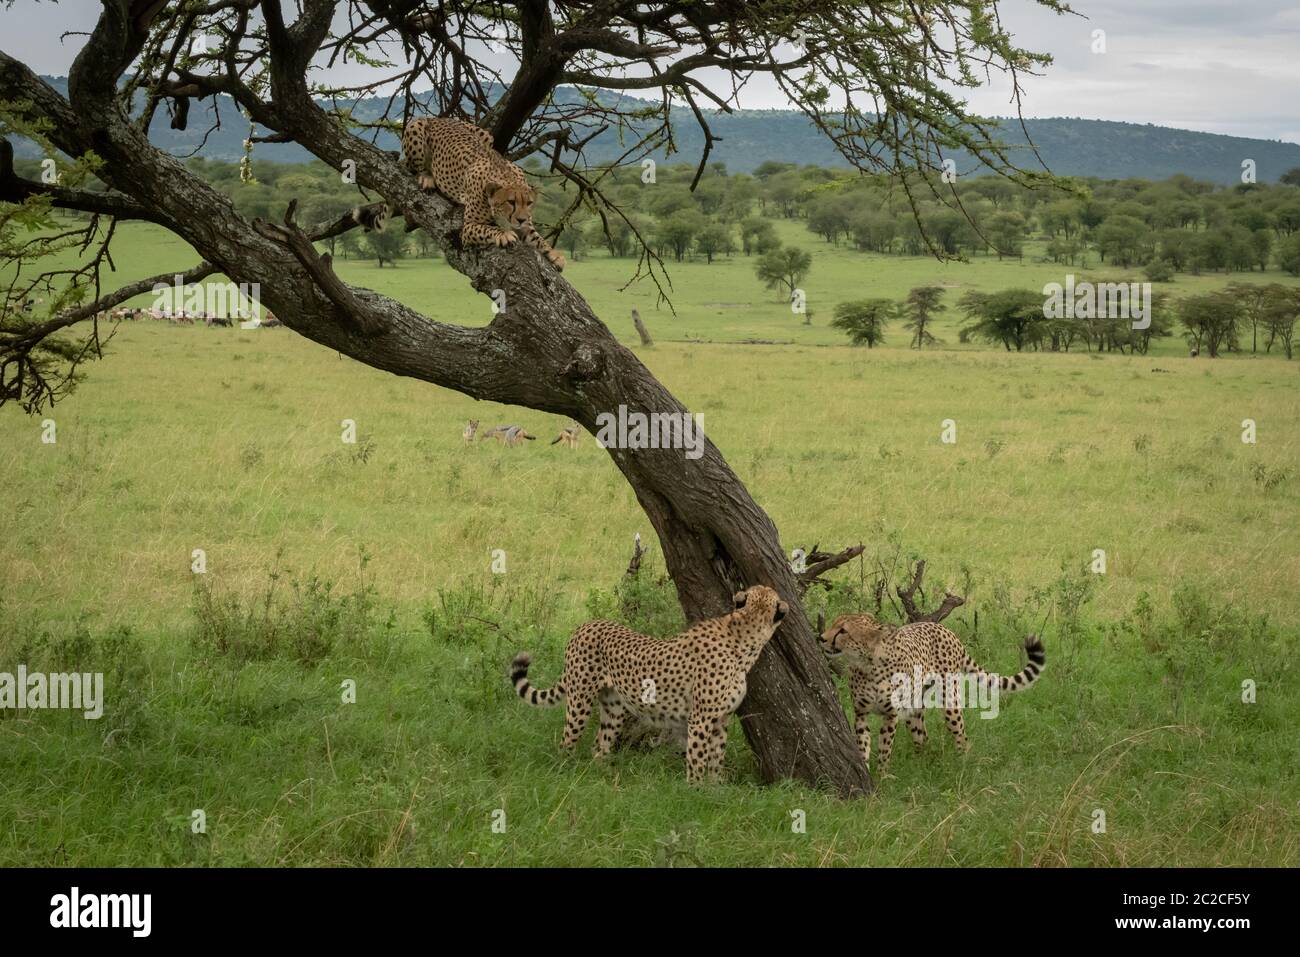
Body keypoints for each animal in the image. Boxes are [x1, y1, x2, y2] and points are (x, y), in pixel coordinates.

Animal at [400, 116, 565, 270]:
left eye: (529, 203)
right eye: (511, 202)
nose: (521, 219)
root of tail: (438, 118)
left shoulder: (525, 225)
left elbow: (537, 237)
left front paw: (554, 254)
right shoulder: (468, 227)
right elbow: (488, 228)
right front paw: (504, 234)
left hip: (486, 135)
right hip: (416, 126)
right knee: (414, 167)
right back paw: (427, 177)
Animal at [511, 584, 789, 783]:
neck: (743, 637)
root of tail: (586, 624)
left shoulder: (721, 718)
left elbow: (716, 756)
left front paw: (716, 789)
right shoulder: (700, 718)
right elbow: (698, 757)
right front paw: (695, 791)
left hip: (613, 707)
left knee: (599, 743)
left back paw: (603, 774)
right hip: (580, 699)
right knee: (567, 740)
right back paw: (565, 771)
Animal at [819, 613, 1044, 773]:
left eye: (842, 631)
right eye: (834, 624)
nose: (821, 638)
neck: (867, 665)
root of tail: (943, 628)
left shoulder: (891, 715)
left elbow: (885, 747)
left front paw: (882, 775)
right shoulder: (861, 713)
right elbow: (863, 745)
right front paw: (865, 771)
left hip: (949, 701)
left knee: (962, 735)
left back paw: (963, 763)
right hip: (914, 708)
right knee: (923, 736)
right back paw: (921, 763)